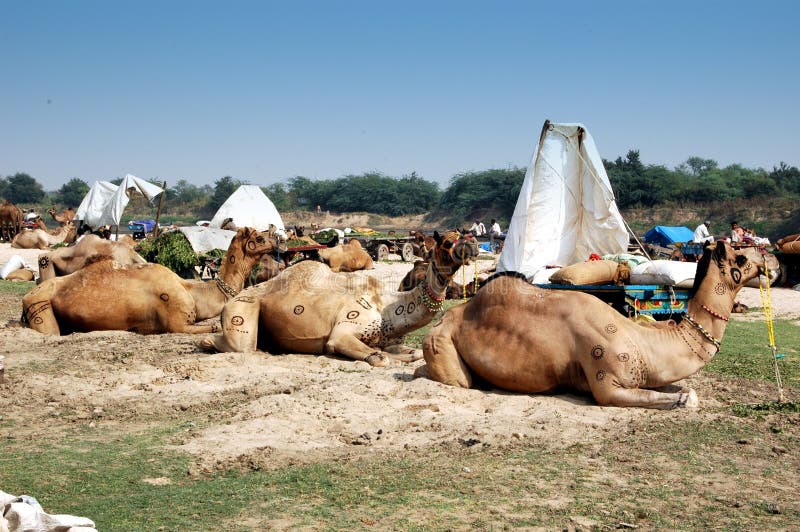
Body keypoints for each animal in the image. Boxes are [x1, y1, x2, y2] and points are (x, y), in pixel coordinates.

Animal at [22, 226, 286, 335]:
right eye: (259, 238)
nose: (281, 241)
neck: (194, 290)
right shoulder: (176, 322)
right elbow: (210, 327)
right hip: (39, 305)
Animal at [200, 231, 479, 367]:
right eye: (446, 243)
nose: (473, 246)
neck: (388, 306)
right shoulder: (344, 330)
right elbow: (379, 358)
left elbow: (410, 353)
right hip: (241, 311)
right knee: (237, 345)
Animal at [416, 242, 780, 409]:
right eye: (741, 256)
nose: (772, 259)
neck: (645, 341)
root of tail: (450, 314)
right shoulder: (606, 380)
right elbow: (676, 397)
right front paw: (683, 399)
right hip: (439, 341)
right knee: (459, 381)